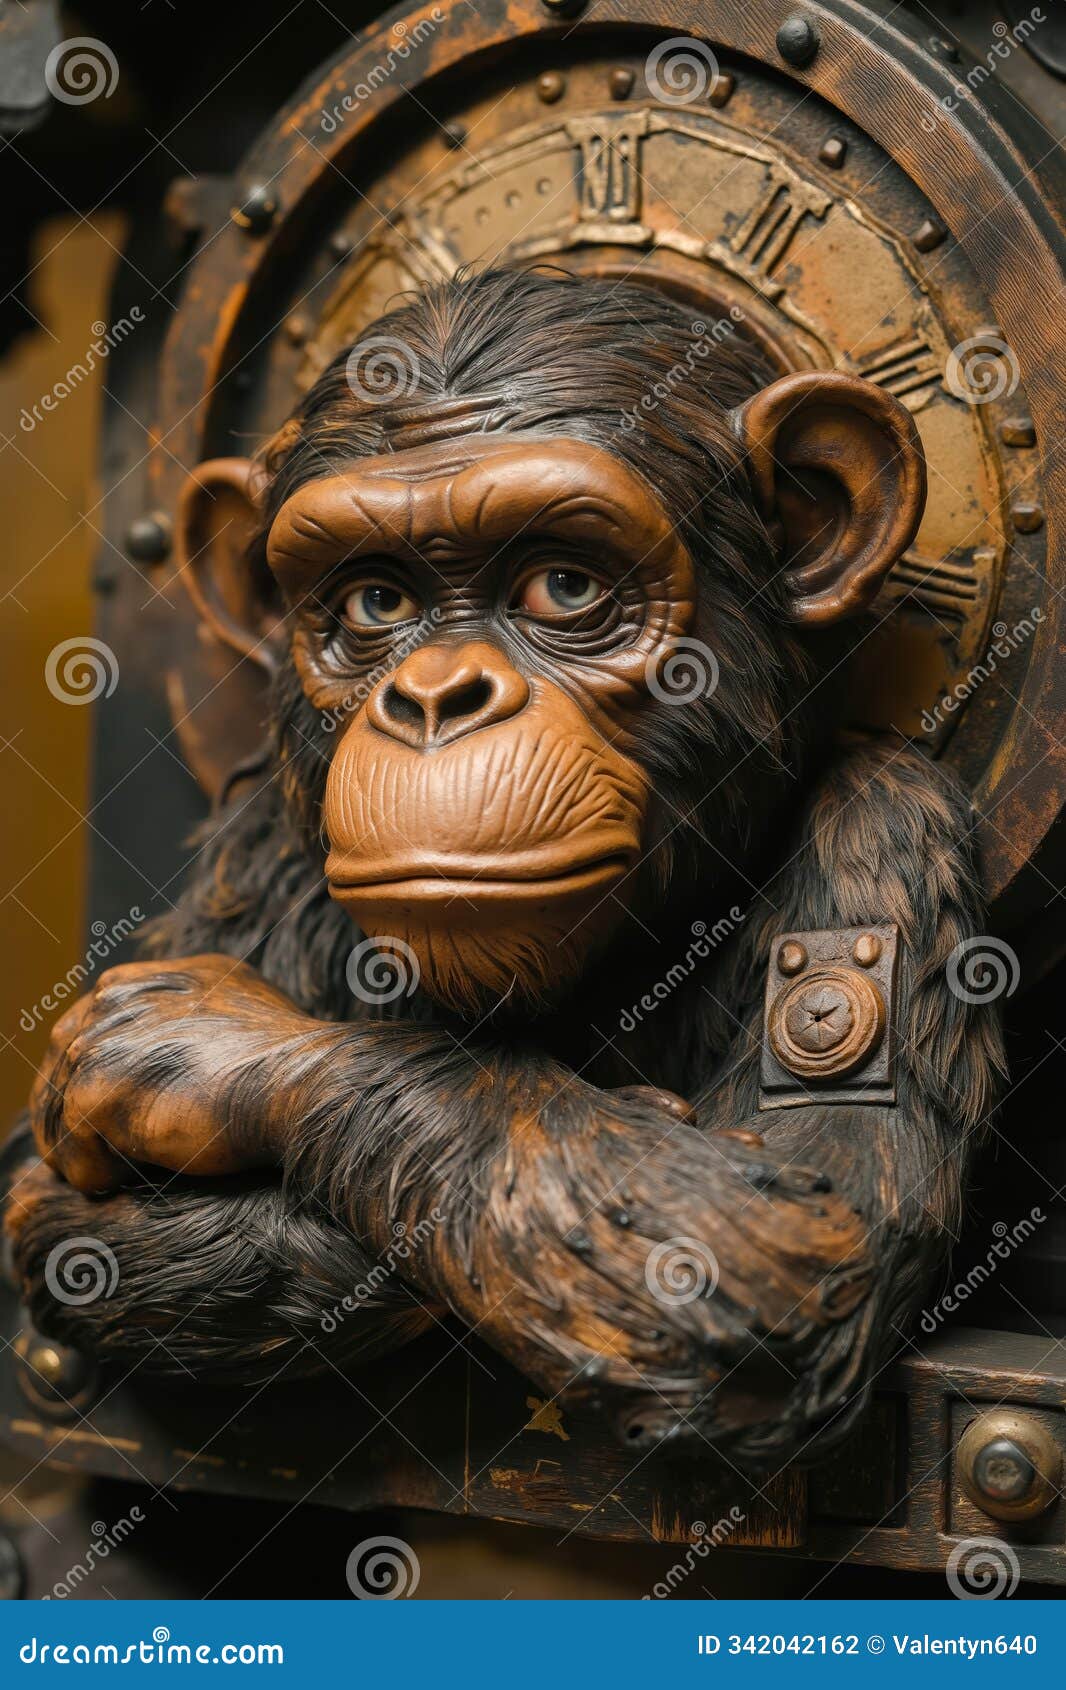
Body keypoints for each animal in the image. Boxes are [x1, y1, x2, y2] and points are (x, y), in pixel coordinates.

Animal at [3, 269, 1003, 1470]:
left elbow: (780, 1244)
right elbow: (58, 1220)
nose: (435, 697)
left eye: (562, 585)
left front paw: (194, 1042)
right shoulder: (260, 842)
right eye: (377, 603)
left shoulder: (887, 826)